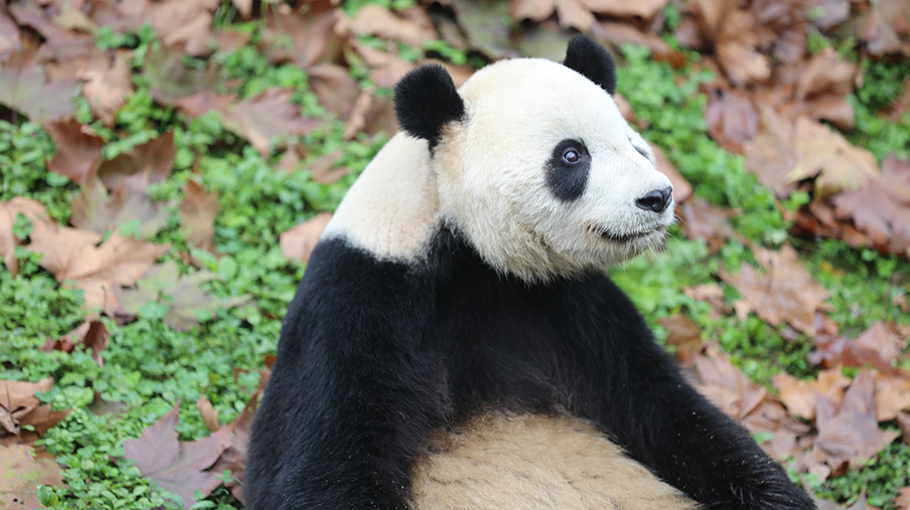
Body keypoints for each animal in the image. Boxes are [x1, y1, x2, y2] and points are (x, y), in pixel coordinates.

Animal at [245, 35, 815, 510]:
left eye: (635, 145)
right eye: (572, 155)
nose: (657, 197)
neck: (466, 253)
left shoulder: (572, 307)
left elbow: (669, 412)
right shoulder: (362, 301)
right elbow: (317, 464)